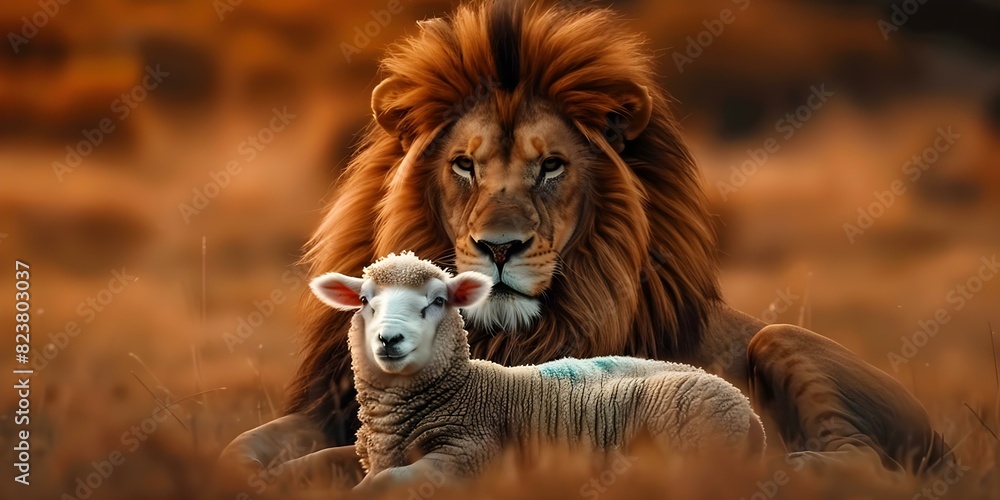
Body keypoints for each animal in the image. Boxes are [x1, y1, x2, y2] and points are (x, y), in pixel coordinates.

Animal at [309, 252, 765, 487]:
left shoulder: (469, 451)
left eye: (438, 301)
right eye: (365, 300)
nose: (389, 339)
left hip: (693, 440)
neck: (459, 388)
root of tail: (751, 417)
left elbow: (382, 483)